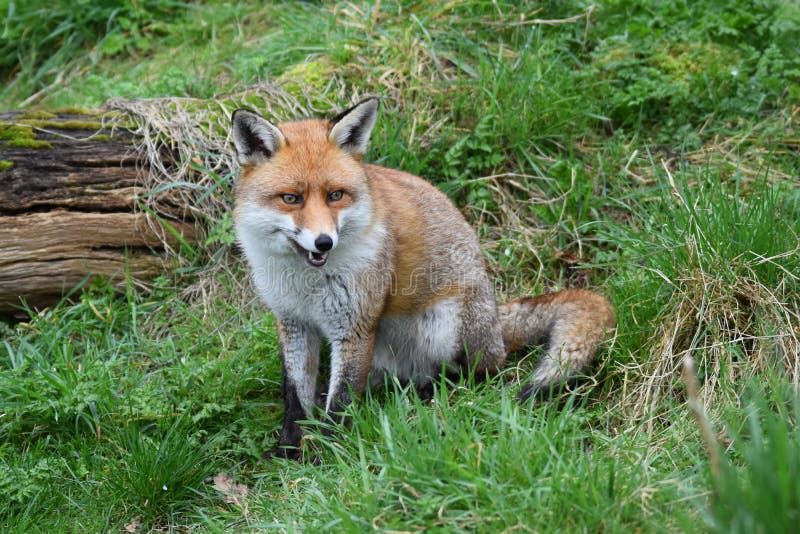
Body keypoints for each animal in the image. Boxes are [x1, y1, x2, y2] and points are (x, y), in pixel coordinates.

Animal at [230, 97, 615, 459]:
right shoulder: (293, 321)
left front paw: (326, 454)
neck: (304, 282)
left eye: (335, 195)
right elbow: (295, 396)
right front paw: (288, 449)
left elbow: (340, 403)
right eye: (291, 198)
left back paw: (434, 396)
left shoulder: (355, 326)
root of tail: (496, 321)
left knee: (478, 373)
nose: (324, 241)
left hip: (445, 326)